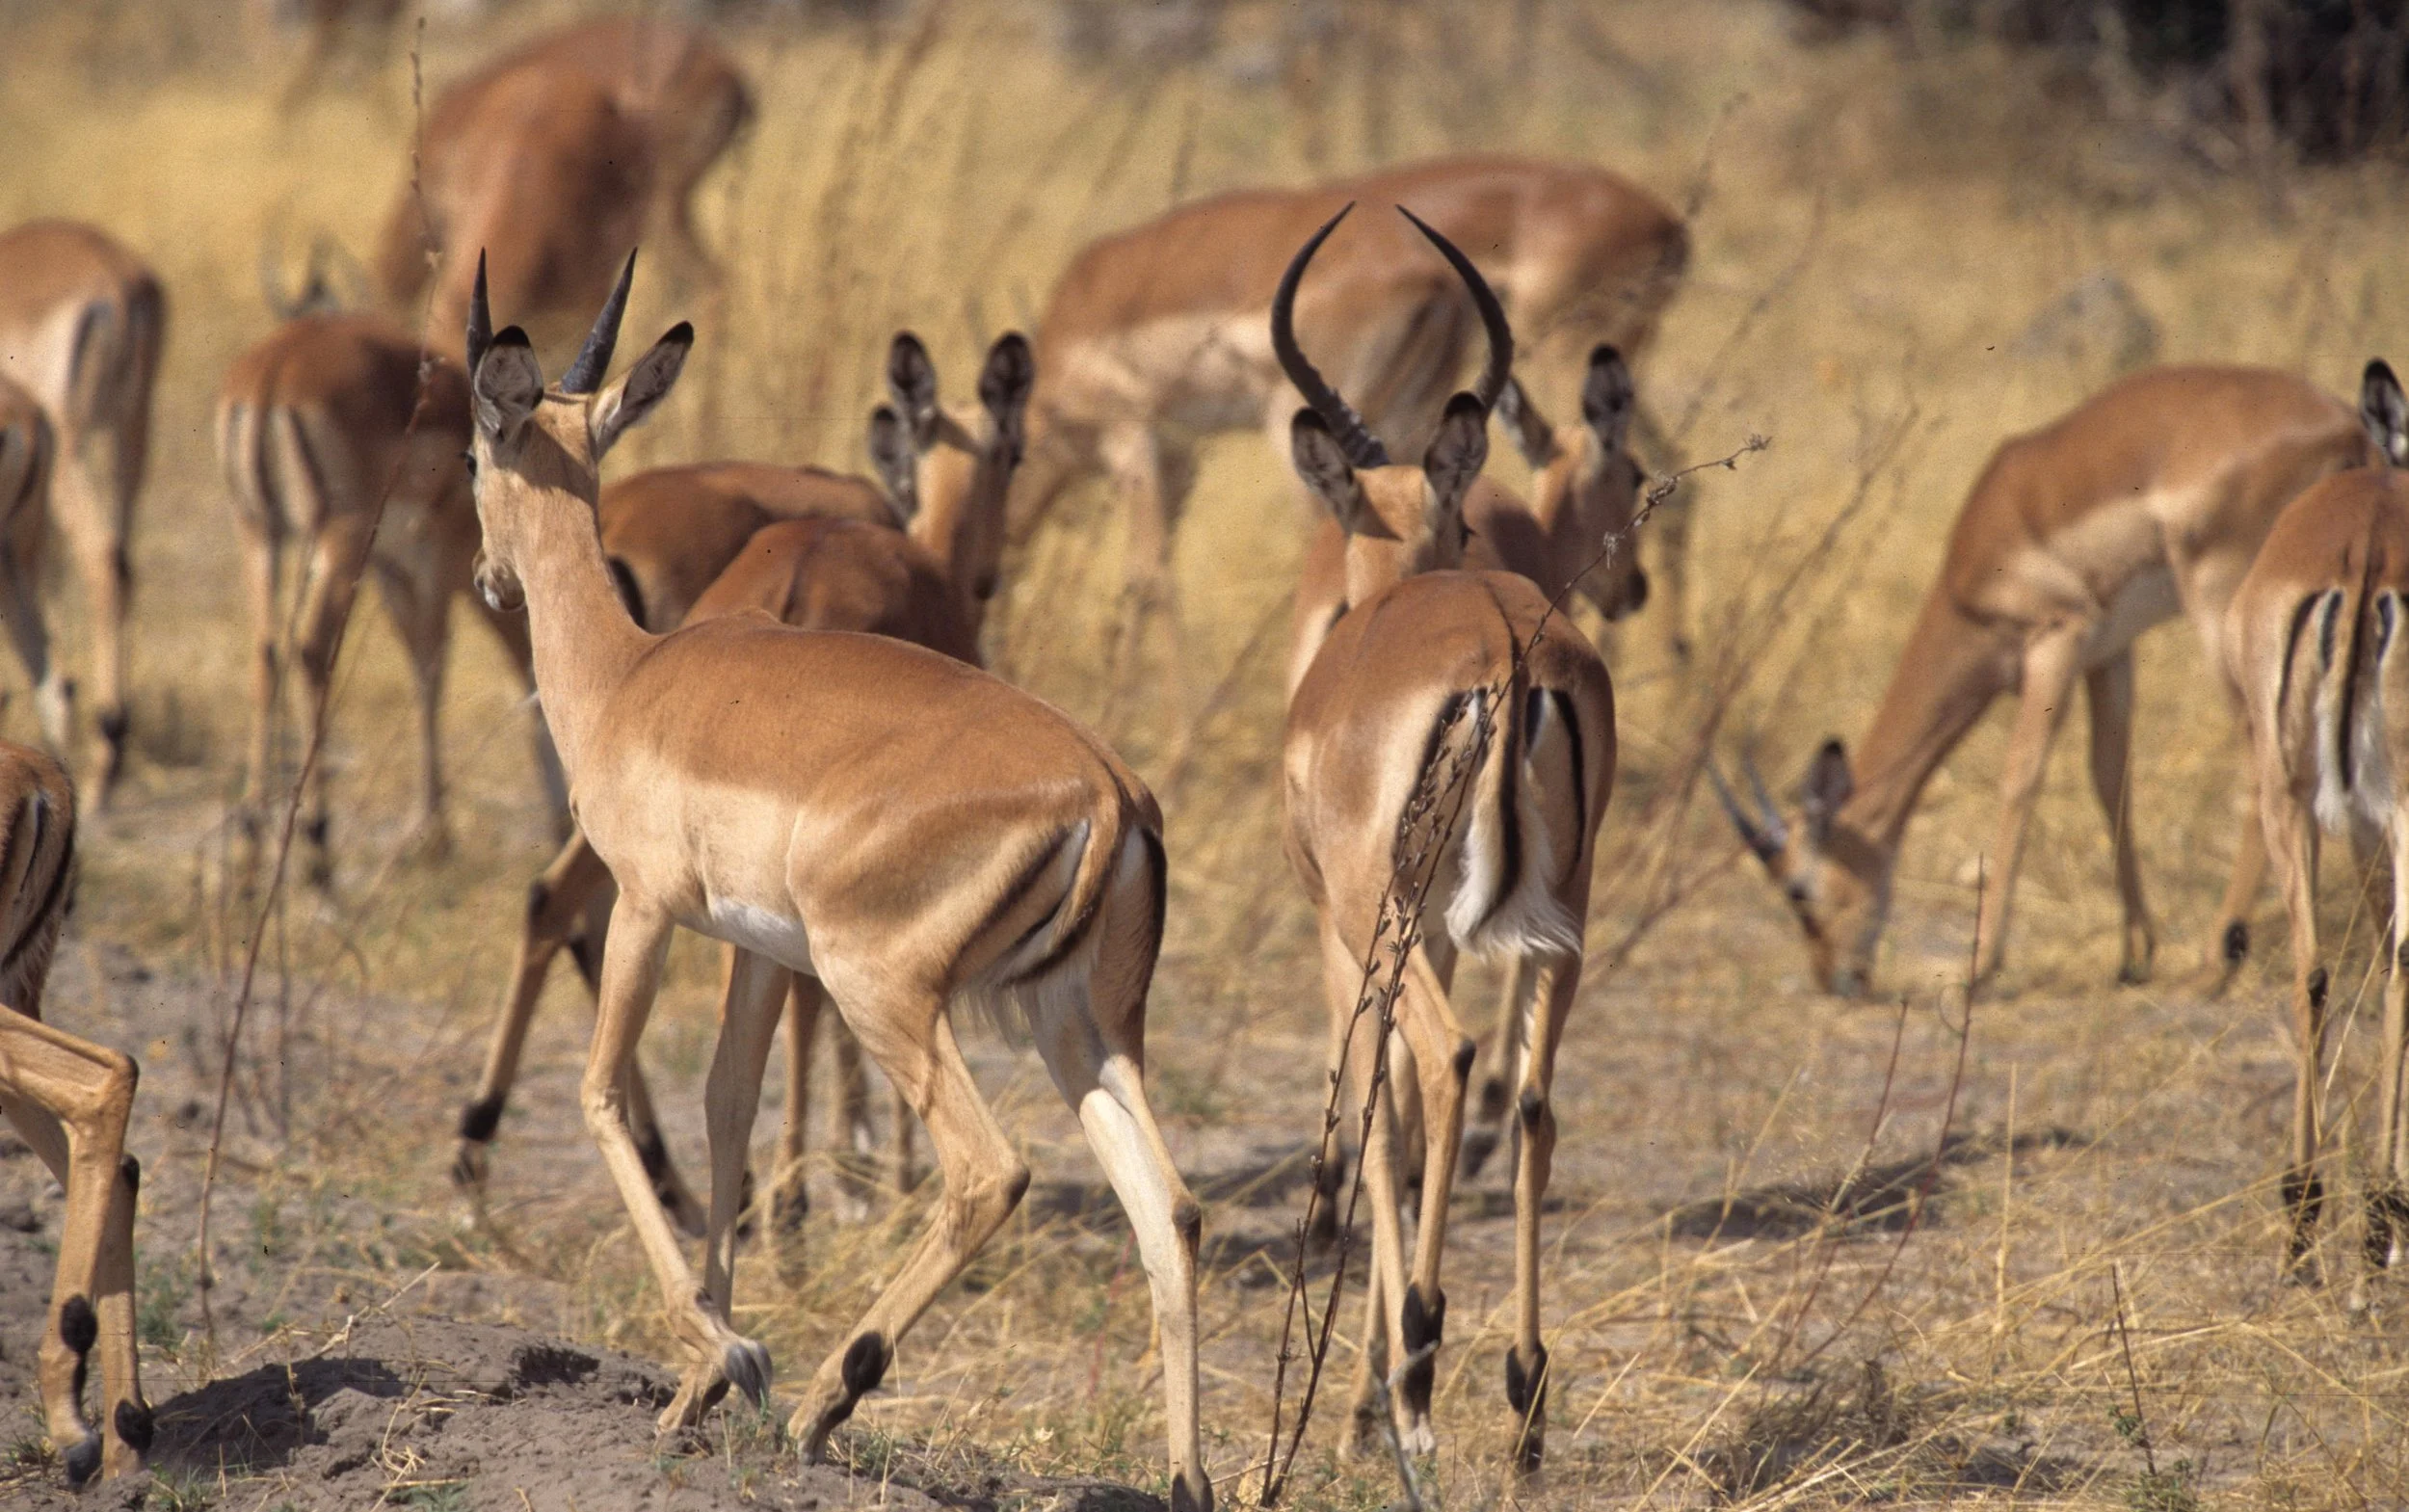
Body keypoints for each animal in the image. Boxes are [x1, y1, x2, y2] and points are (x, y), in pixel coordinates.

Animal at [0, 221, 165, 803]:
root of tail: (119, 277)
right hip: (132, 430)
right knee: (119, 559)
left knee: (98, 558)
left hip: (71, 445)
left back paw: (103, 765)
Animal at [217, 312, 572, 887]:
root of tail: (277, 363)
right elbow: (433, 668)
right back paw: (317, 847)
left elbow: (422, 664)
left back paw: (251, 851)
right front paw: (434, 835)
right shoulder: (435, 560)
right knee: (311, 650)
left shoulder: (393, 573)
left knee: (265, 654)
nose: (568, 826)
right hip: (339, 538)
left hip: (259, 535)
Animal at [1277, 207, 1614, 1470]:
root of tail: (1504, 661)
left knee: (1450, 1061)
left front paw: (1357, 1405)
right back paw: (1524, 1397)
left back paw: (1419, 1360)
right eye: (1461, 512)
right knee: (1529, 1098)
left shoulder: (1347, 934)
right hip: (1563, 920)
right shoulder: (1450, 933)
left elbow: (1378, 1122)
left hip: (1385, 923)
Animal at [1712, 365, 2395, 999]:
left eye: (1799, 888)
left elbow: (2021, 780)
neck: (1973, 565)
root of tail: (2346, 424)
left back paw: (2213, 966)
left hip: (2218, 607)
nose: (1834, 978)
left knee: (2263, 763)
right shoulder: (2108, 655)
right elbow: (2109, 777)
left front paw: (1979, 969)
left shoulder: (2055, 641)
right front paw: (2135, 955)